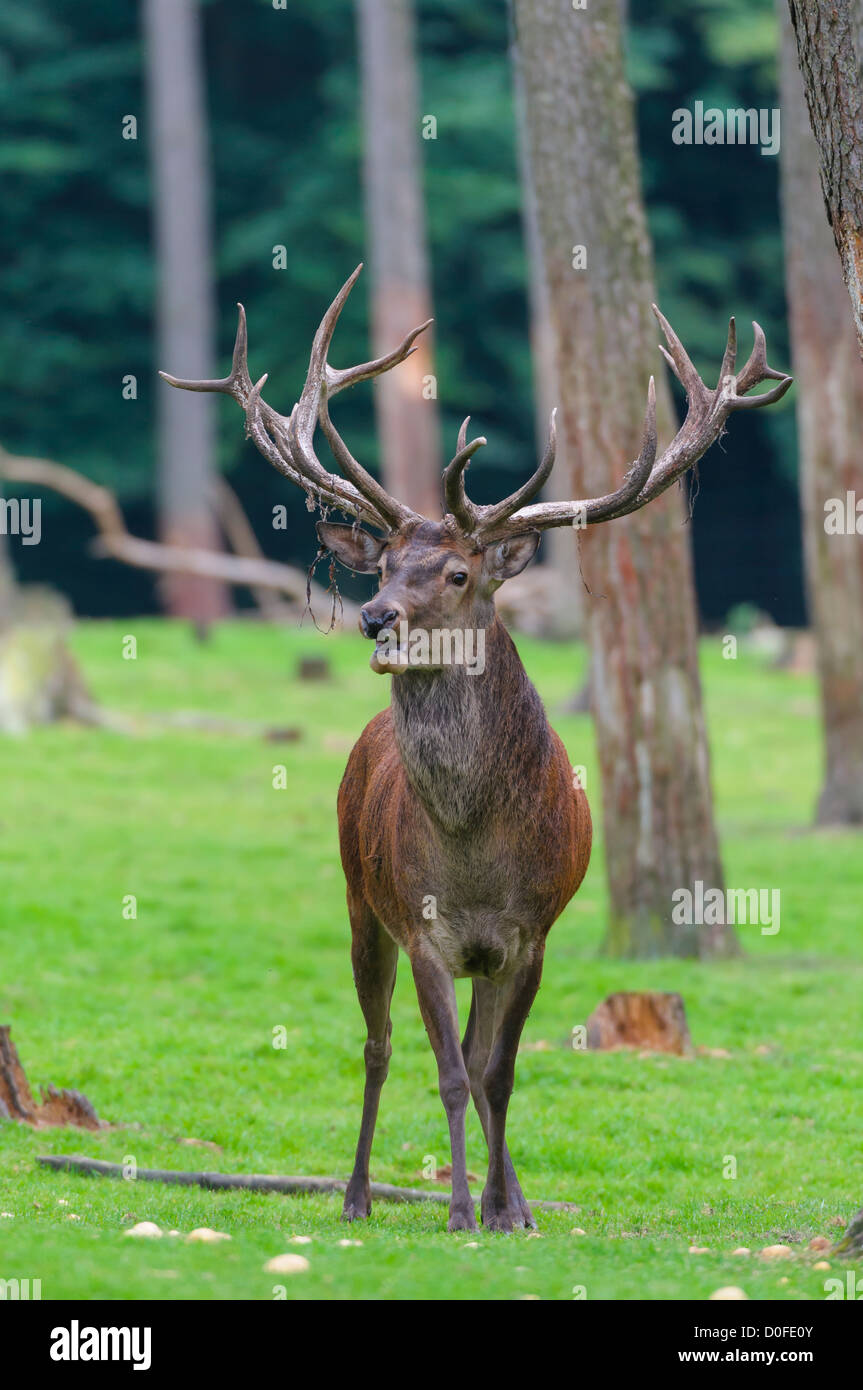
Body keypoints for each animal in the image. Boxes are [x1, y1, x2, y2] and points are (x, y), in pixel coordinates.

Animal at [160, 266, 791, 1232]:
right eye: (383, 564)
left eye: (458, 573)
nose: (375, 617)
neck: (473, 853)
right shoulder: (422, 926)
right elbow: (451, 1075)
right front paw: (460, 1209)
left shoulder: (529, 933)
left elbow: (497, 1072)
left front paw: (506, 1209)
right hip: (360, 899)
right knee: (380, 1046)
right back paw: (356, 1195)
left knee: (468, 1048)